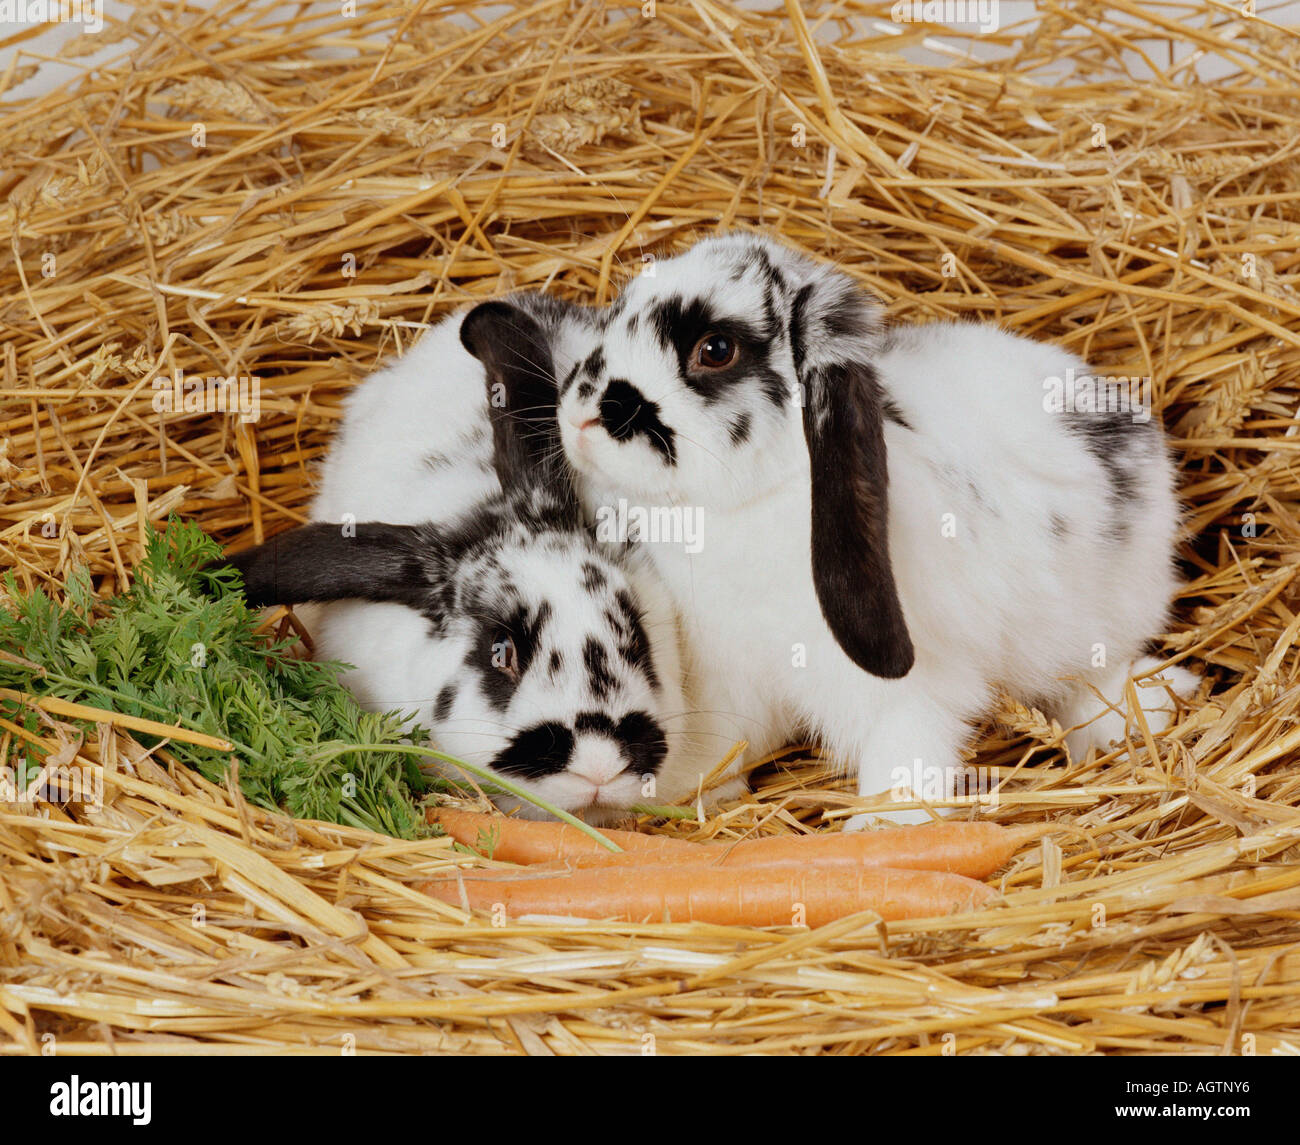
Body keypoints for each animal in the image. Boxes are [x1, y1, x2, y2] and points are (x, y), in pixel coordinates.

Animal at [459, 233, 1199, 826]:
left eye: (714, 349)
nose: (583, 412)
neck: (746, 508)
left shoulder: (907, 692)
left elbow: (905, 752)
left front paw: (882, 831)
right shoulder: (722, 682)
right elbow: (716, 746)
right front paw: (668, 791)